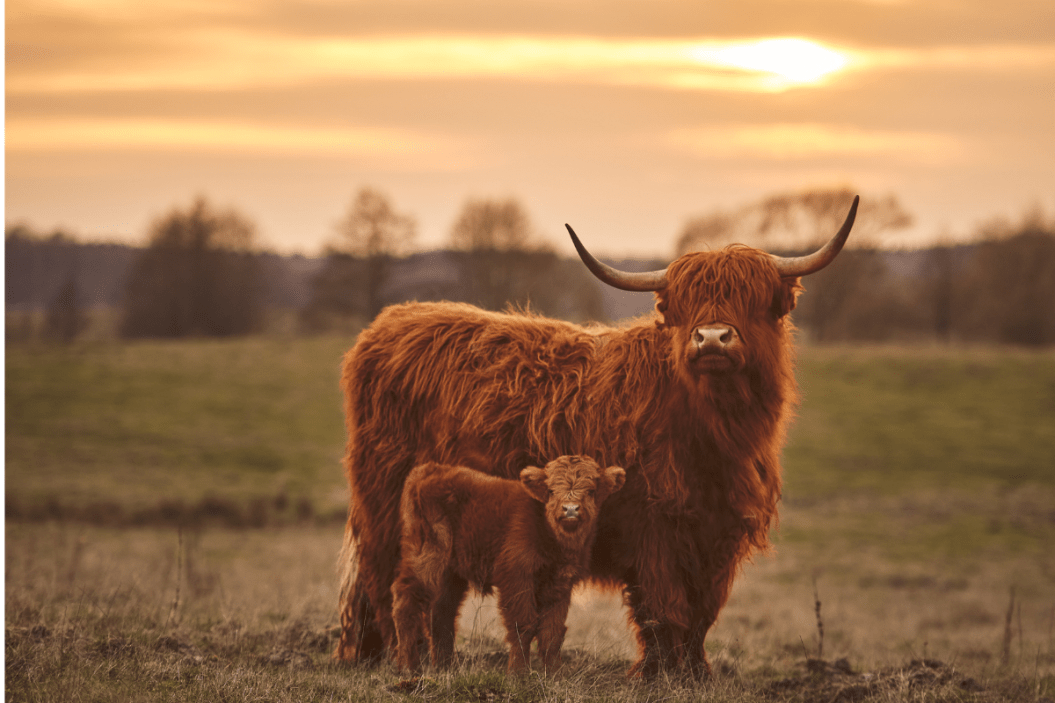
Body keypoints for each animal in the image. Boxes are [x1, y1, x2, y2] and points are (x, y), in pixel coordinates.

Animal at [391, 456, 626, 674]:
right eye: (551, 490)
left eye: (591, 490)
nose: (570, 509)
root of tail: (428, 470)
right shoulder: (517, 577)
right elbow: (523, 625)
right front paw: (518, 673)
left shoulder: (560, 583)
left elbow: (552, 631)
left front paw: (555, 674)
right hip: (427, 557)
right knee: (406, 601)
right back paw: (409, 667)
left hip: (450, 573)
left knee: (442, 612)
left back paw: (445, 667)